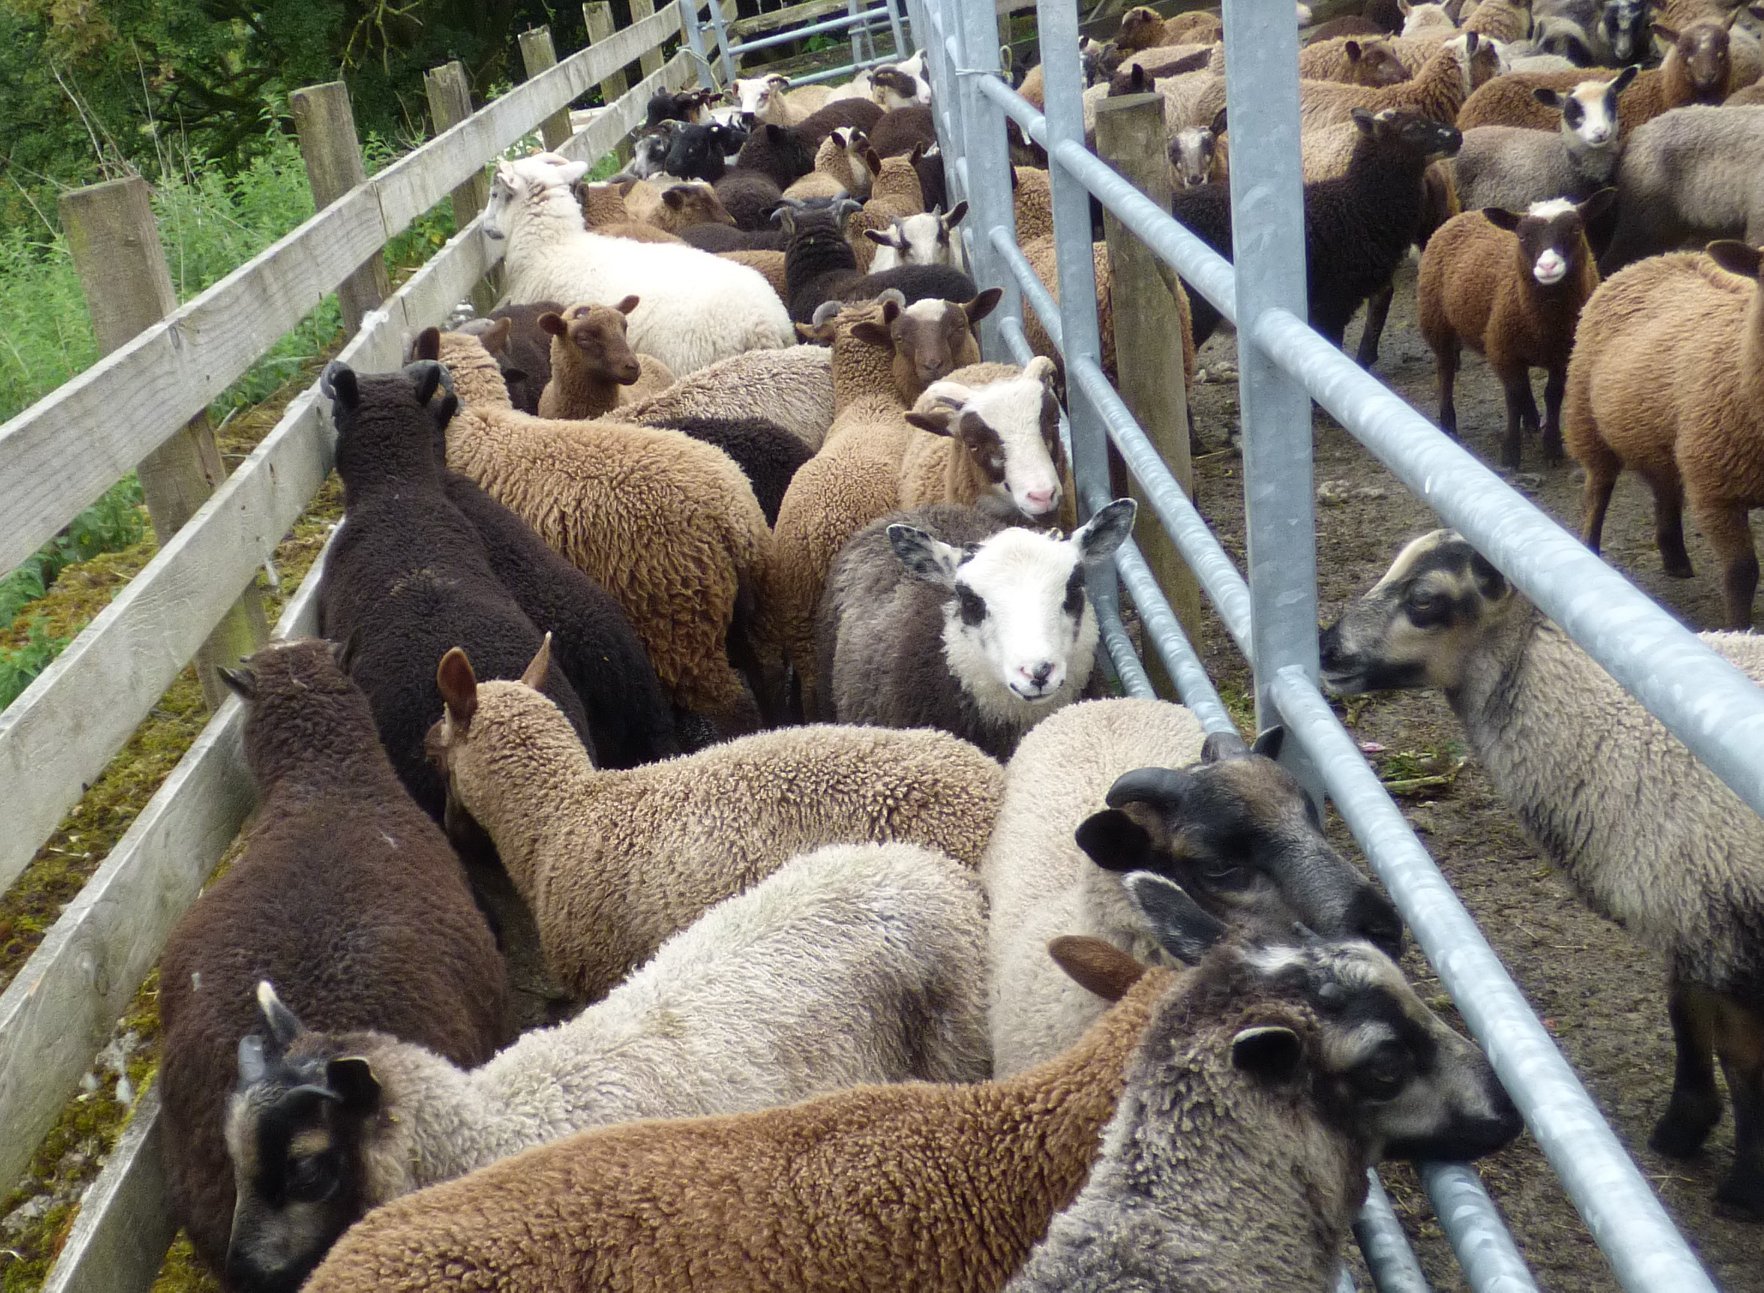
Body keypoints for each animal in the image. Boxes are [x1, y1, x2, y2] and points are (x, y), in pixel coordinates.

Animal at [1320, 528, 1764, 1216]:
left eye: (1425, 602)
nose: (1327, 650)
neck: (1618, 734)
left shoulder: (1723, 920)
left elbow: (1742, 1059)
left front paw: (1744, 1188)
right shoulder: (1690, 911)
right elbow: (1686, 1016)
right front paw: (1682, 1130)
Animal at [1418, 193, 1613, 468]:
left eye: (1575, 229)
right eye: (1522, 236)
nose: (1548, 267)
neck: (1546, 324)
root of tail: (1466, 213)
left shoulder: (1563, 355)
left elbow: (1552, 396)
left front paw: (1552, 447)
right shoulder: (1504, 351)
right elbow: (1513, 397)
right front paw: (1510, 452)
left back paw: (1531, 420)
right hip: (1437, 321)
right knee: (1445, 370)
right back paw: (1448, 424)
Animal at [1564, 239, 1764, 629]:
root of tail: (1659, 257)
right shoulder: (1716, 491)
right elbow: (1742, 572)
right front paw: (1740, 628)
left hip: (1658, 435)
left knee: (1665, 489)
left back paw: (1675, 559)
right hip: (1586, 417)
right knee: (1597, 490)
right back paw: (1590, 546)